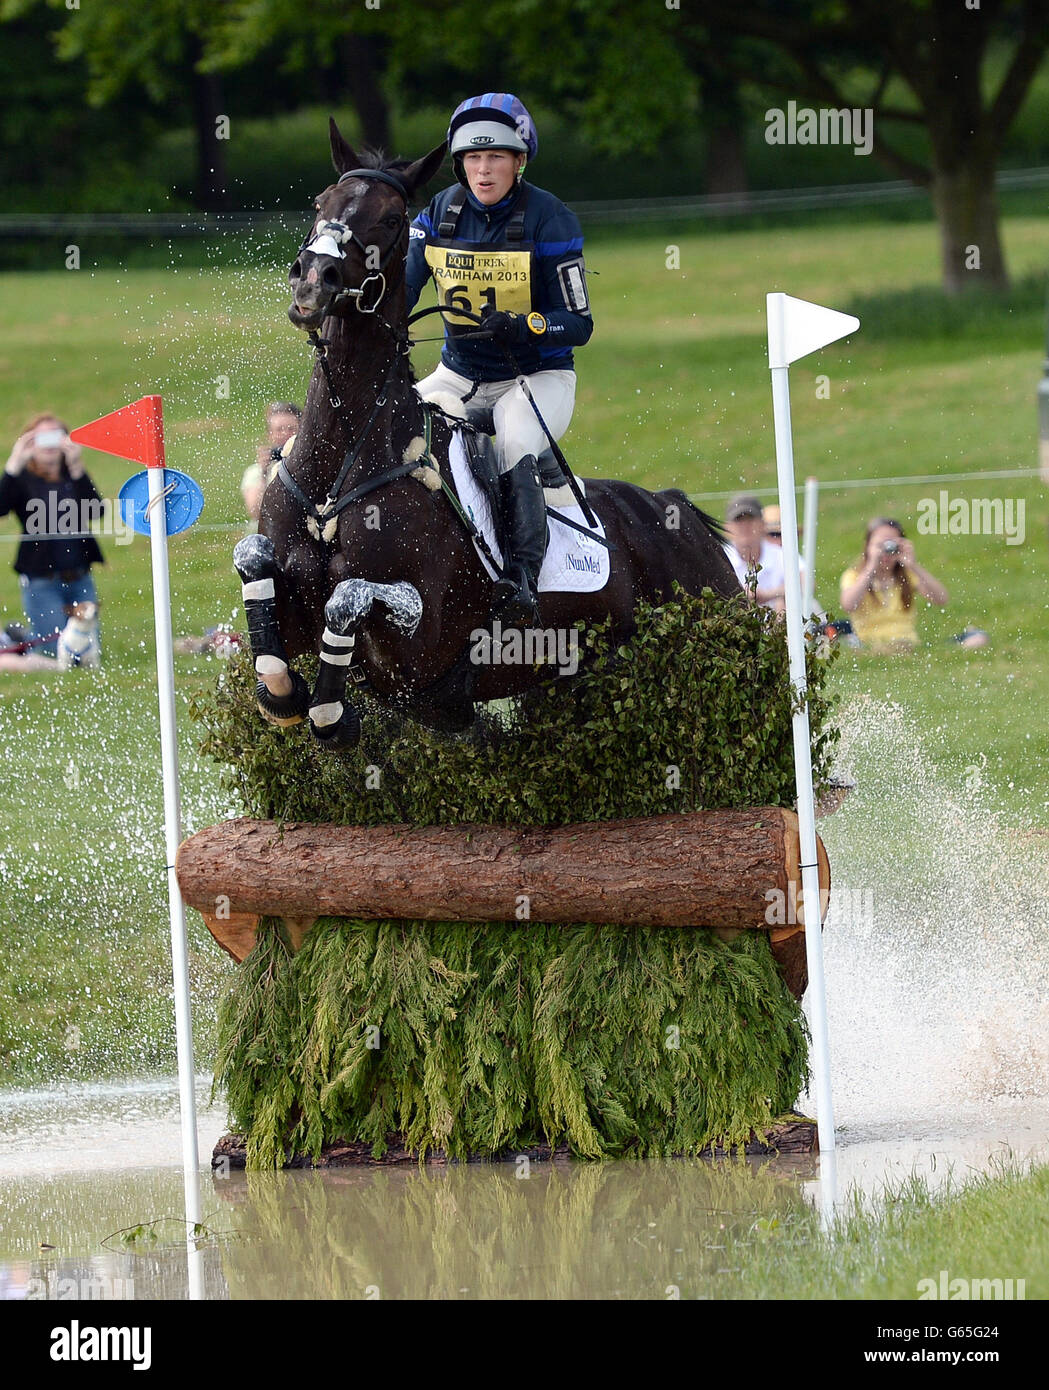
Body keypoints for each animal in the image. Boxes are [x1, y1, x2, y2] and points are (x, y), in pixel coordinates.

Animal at [233, 118, 740, 746]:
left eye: (392, 218)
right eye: (320, 202)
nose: (311, 285)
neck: (344, 460)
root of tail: (679, 514)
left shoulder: (416, 650)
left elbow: (349, 599)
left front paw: (334, 715)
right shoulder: (296, 613)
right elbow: (255, 570)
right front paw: (287, 696)